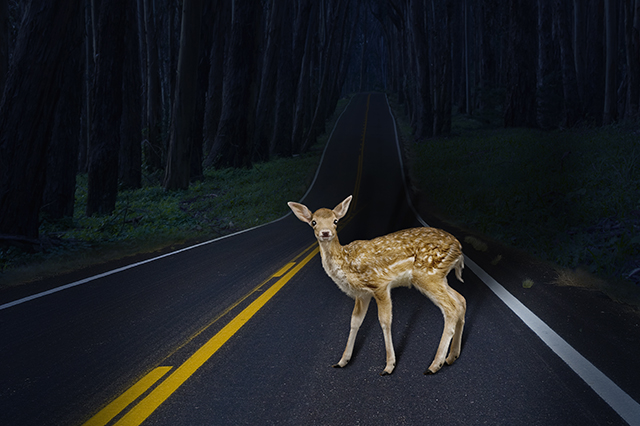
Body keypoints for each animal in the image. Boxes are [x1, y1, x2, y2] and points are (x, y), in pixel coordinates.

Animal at [288, 195, 466, 376]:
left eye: (335, 221)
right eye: (314, 222)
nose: (325, 232)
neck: (346, 262)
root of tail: (459, 249)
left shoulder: (379, 284)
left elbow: (385, 321)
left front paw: (388, 366)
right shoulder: (362, 294)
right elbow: (355, 321)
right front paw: (342, 361)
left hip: (427, 274)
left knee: (451, 308)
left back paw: (434, 365)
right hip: (439, 277)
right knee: (461, 300)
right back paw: (452, 356)